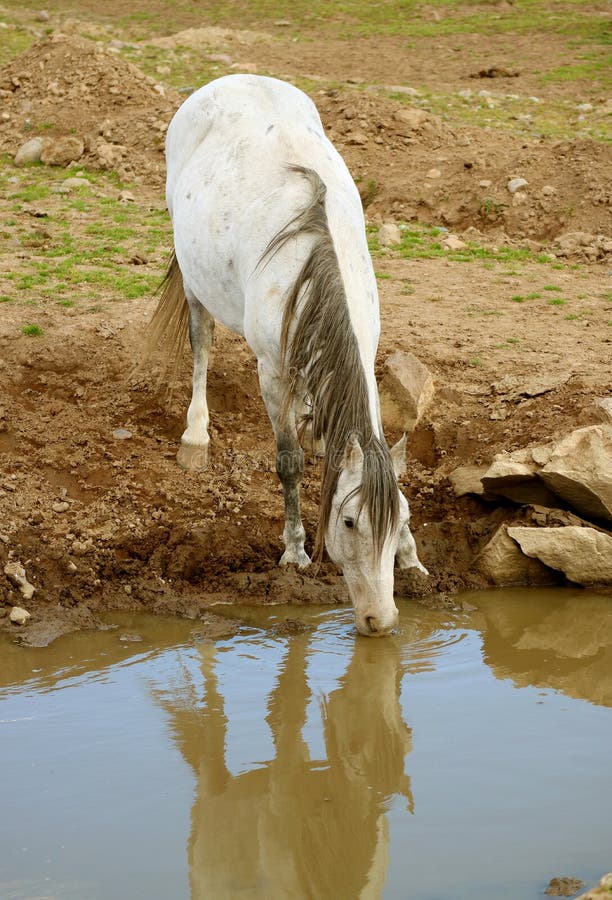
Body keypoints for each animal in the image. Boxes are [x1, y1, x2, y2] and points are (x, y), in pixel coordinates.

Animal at [148, 74, 427, 636]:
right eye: (348, 522)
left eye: (401, 522)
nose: (381, 619)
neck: (314, 261)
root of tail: (230, 78)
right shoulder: (272, 373)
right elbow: (288, 461)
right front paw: (295, 553)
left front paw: (412, 558)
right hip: (194, 281)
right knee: (201, 341)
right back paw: (195, 439)